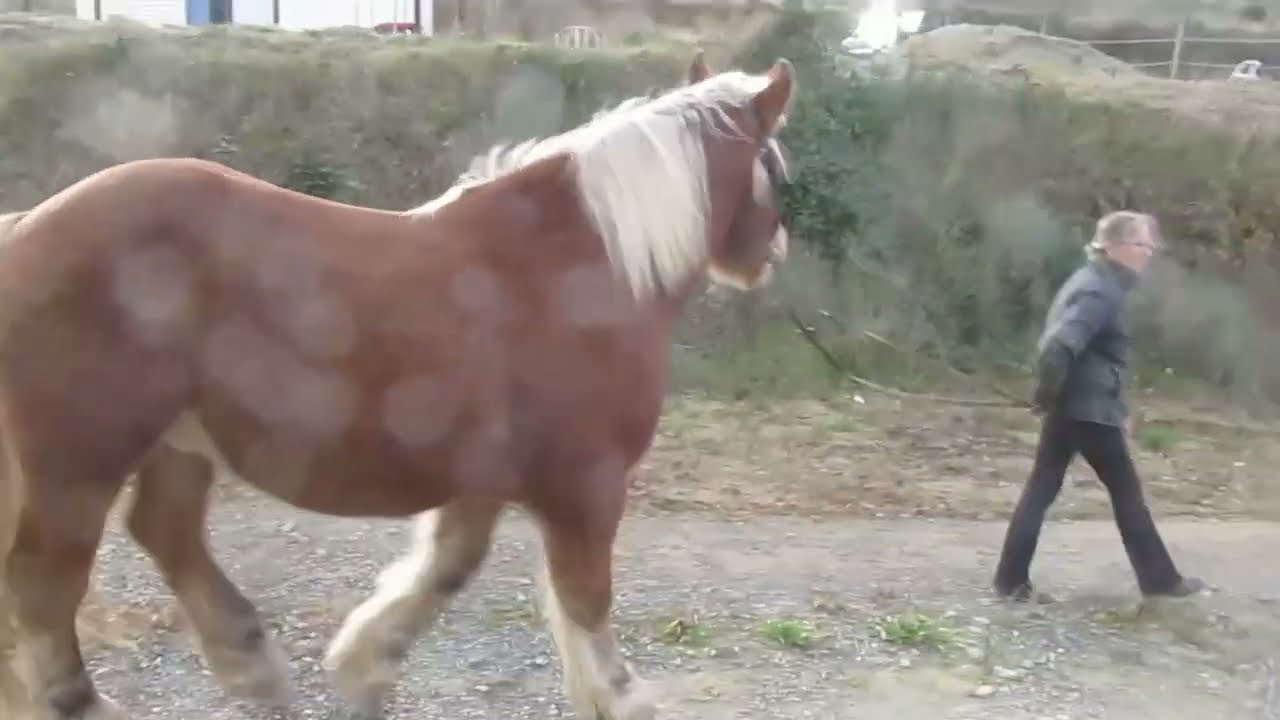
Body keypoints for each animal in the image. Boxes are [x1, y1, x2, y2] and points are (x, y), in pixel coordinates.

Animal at [0, 50, 796, 720]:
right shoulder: (587, 486)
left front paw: (365, 666)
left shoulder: (484, 479)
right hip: (81, 460)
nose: (772, 254)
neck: (580, 267)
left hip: (178, 441)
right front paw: (620, 695)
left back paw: (251, 665)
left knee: (163, 533)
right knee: (44, 584)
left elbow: (447, 569)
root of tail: (26, 226)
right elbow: (584, 598)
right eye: (778, 168)